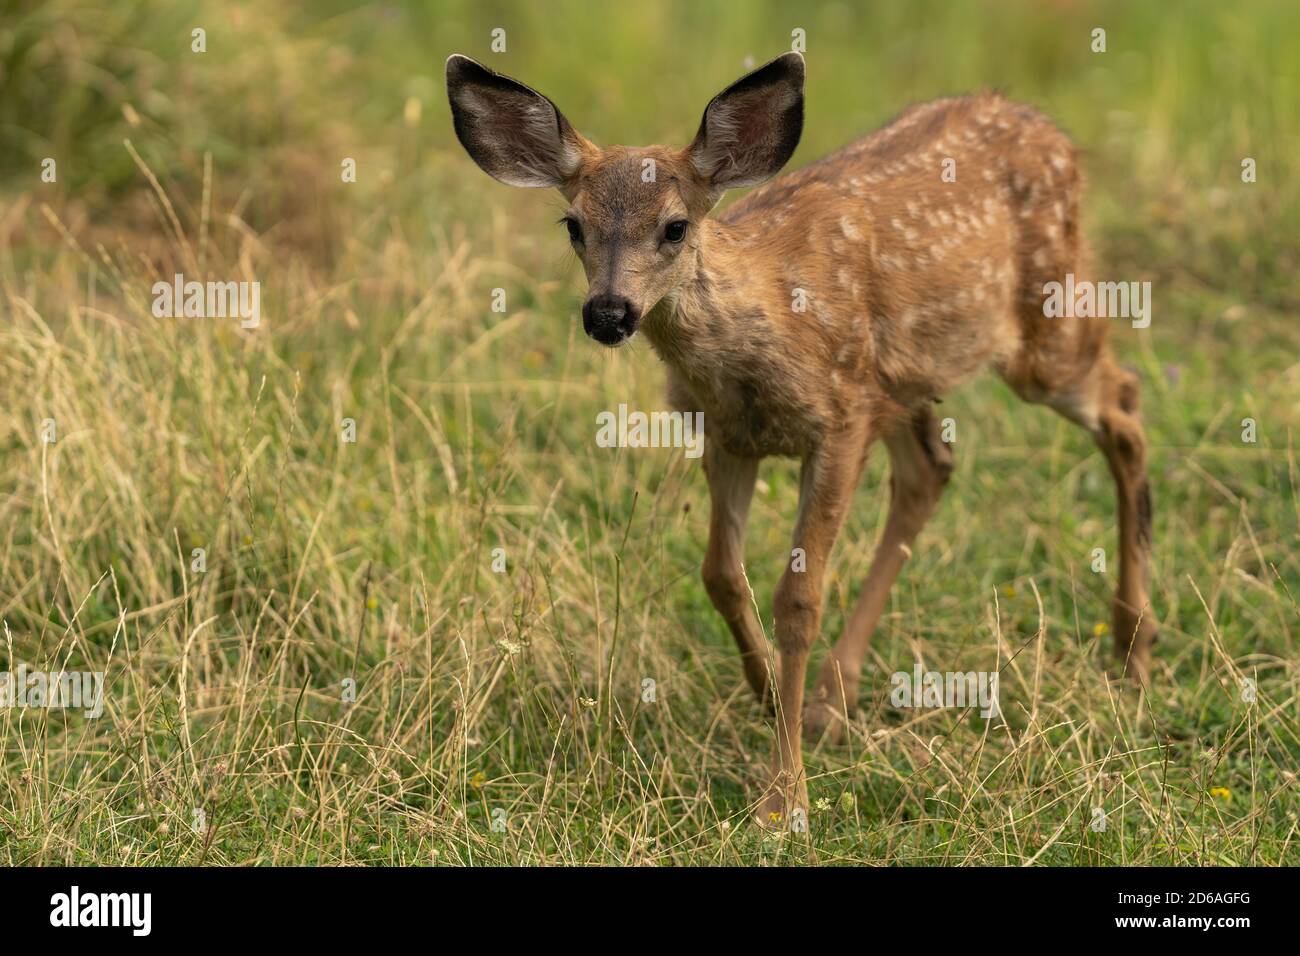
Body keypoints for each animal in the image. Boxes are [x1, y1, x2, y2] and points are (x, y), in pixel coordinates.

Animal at [445, 51, 1157, 828]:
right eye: (573, 224)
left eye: (675, 227)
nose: (608, 313)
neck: (760, 327)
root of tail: (1053, 134)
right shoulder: (726, 435)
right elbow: (721, 575)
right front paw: (766, 696)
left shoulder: (838, 421)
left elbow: (799, 600)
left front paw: (784, 800)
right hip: (901, 382)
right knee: (932, 469)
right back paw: (831, 700)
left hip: (1042, 329)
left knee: (1124, 405)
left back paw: (1133, 647)